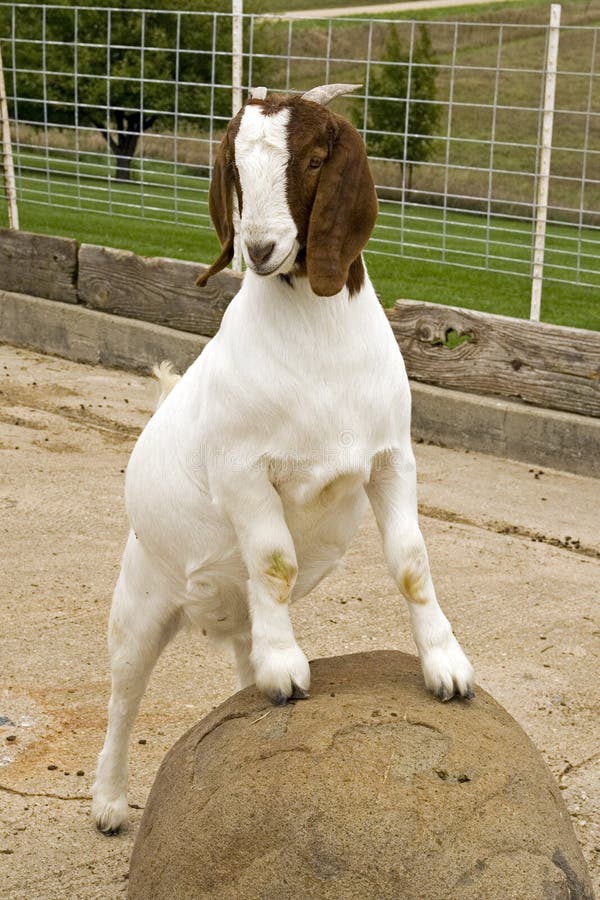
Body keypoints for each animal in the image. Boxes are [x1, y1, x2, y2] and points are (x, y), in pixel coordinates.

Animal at [92, 84, 474, 835]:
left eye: (317, 158)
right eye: (234, 164)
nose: (261, 248)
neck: (317, 345)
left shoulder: (393, 459)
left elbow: (411, 562)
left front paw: (447, 667)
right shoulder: (244, 472)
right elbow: (275, 560)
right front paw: (288, 671)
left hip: (224, 611)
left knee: (236, 664)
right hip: (139, 603)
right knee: (124, 695)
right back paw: (111, 803)